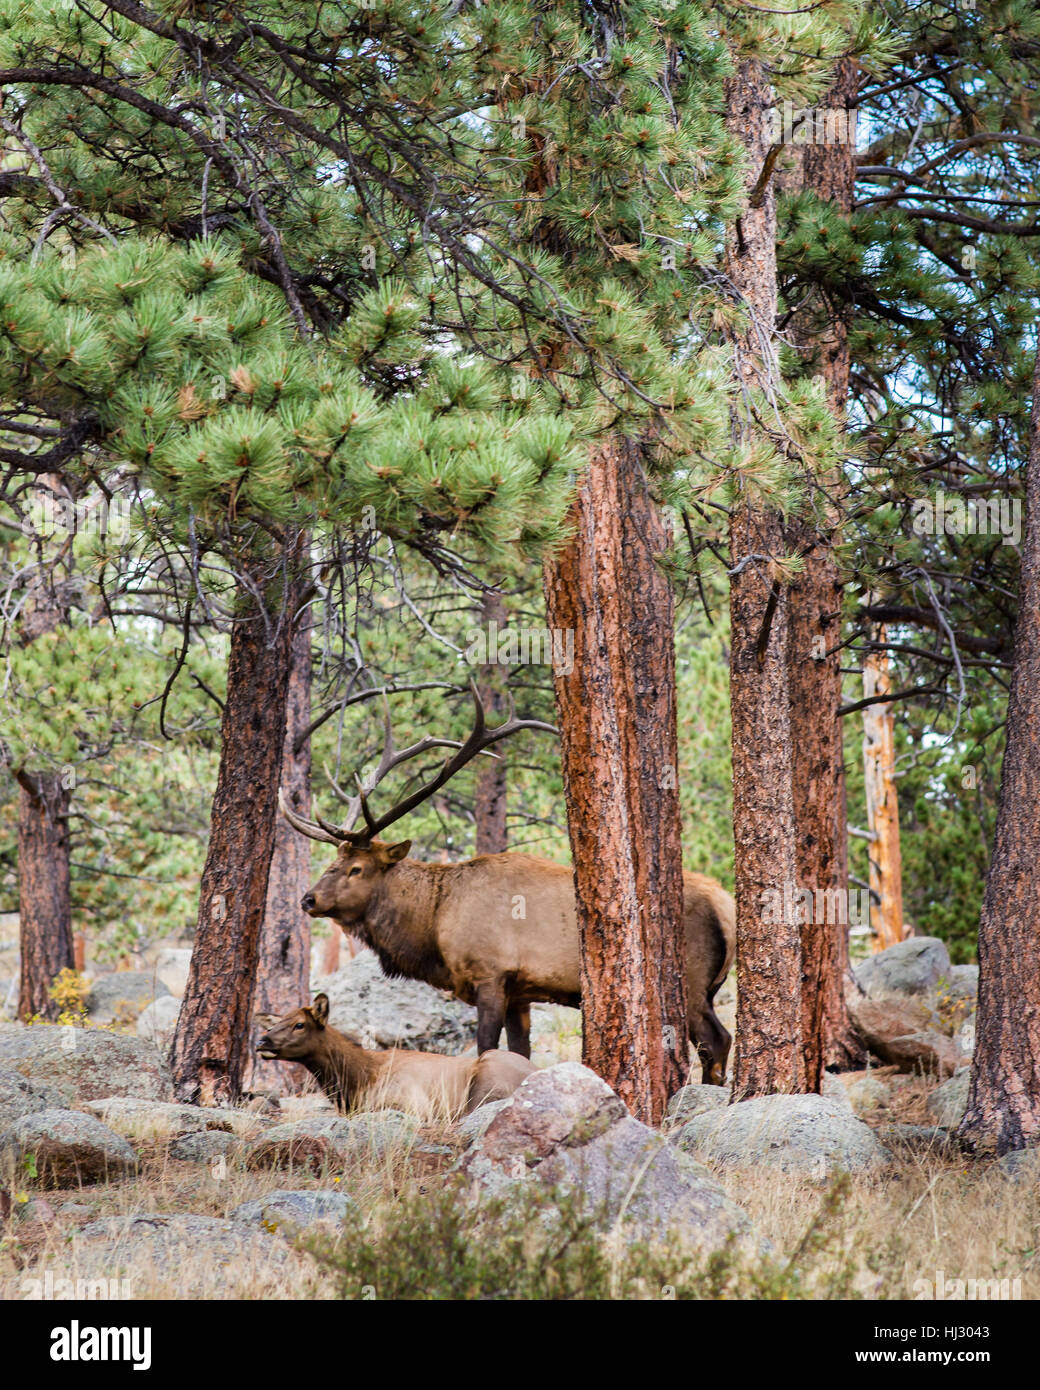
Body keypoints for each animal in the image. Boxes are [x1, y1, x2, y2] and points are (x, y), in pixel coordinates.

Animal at [256, 993, 534, 1119]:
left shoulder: (412, 1103)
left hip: (488, 1074)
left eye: (299, 1024)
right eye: (274, 1023)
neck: (357, 1081)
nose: (261, 1041)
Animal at [280, 683, 736, 1084]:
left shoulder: (491, 975)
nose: (308, 899)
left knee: (717, 1041)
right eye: (334, 861)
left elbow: (486, 1048)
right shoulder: (522, 992)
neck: (435, 925)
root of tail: (726, 905)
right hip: (709, 987)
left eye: (357, 868)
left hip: (692, 982)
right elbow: (522, 1054)